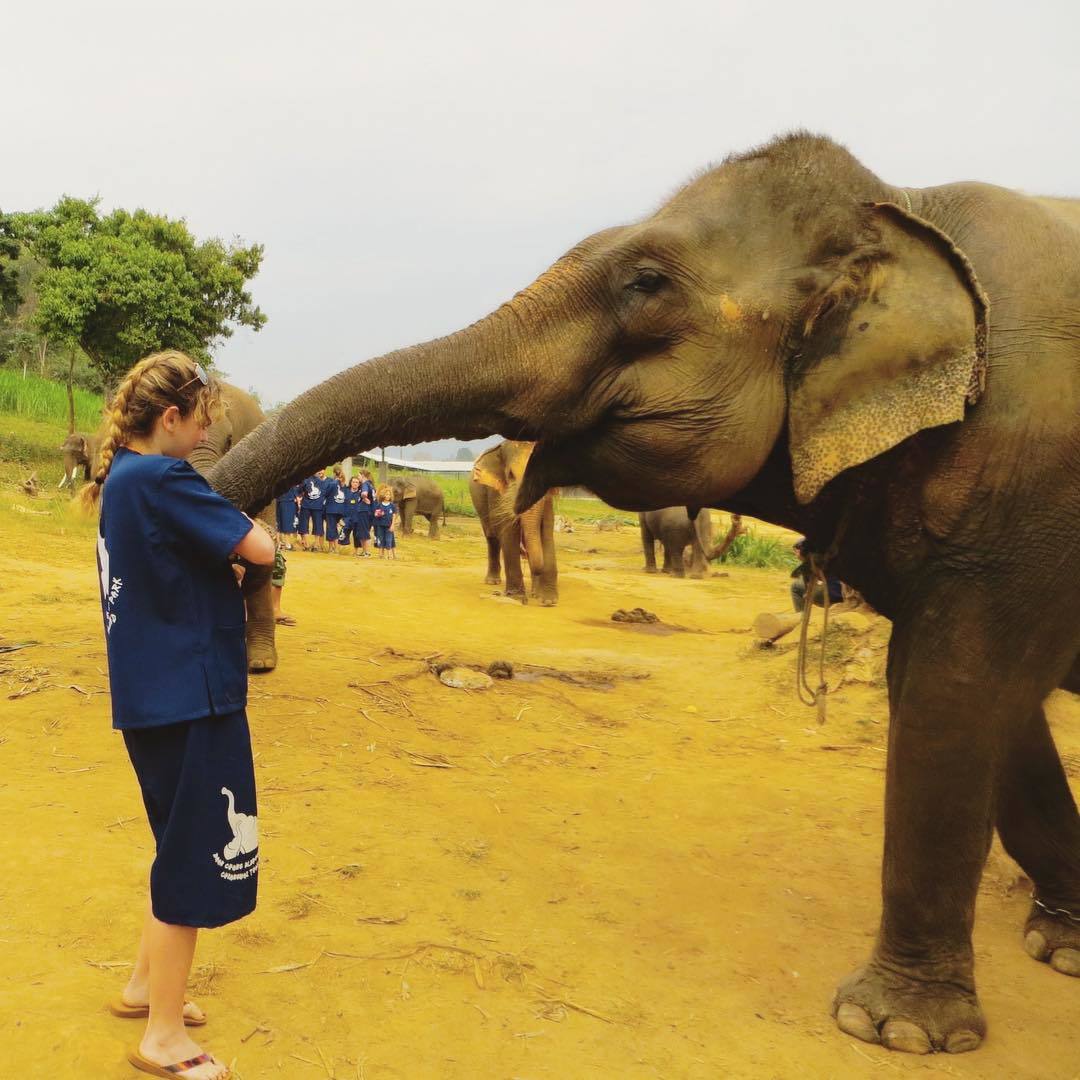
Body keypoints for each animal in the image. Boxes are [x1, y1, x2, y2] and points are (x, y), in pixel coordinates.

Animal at [469, 440, 558, 604]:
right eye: (510, 474)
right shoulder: (499, 491)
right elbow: (508, 529)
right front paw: (517, 597)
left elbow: (546, 529)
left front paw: (548, 600)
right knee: (492, 536)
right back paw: (492, 582)